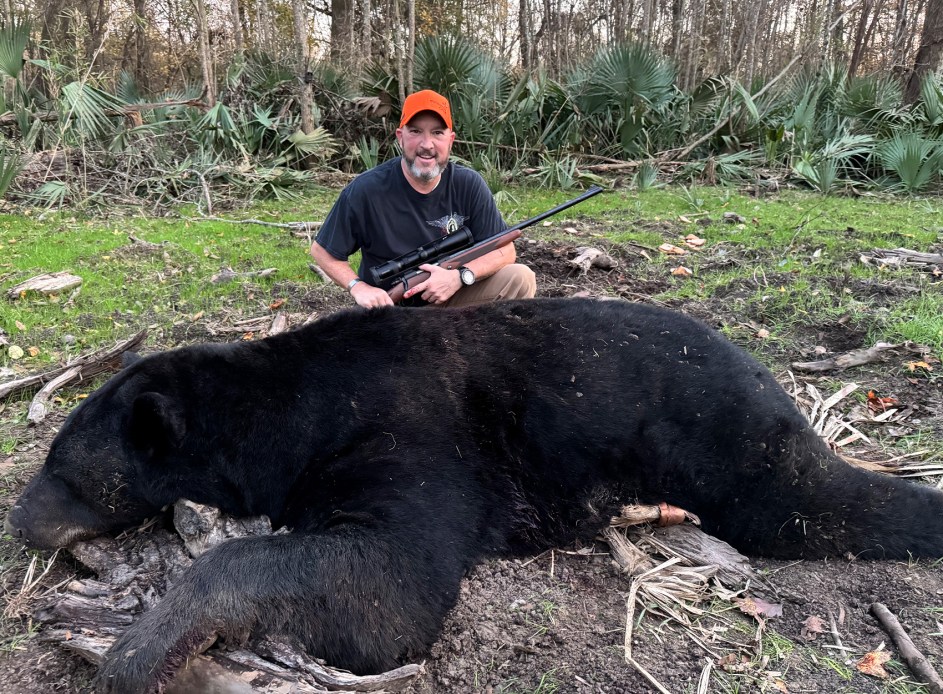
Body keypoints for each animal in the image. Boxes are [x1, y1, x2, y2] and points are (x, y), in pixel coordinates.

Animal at [6, 297, 943, 694]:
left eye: (65, 469)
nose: (18, 522)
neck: (289, 408)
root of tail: (770, 379)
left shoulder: (409, 432)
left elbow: (387, 585)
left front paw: (136, 653)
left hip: (723, 439)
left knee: (816, 502)